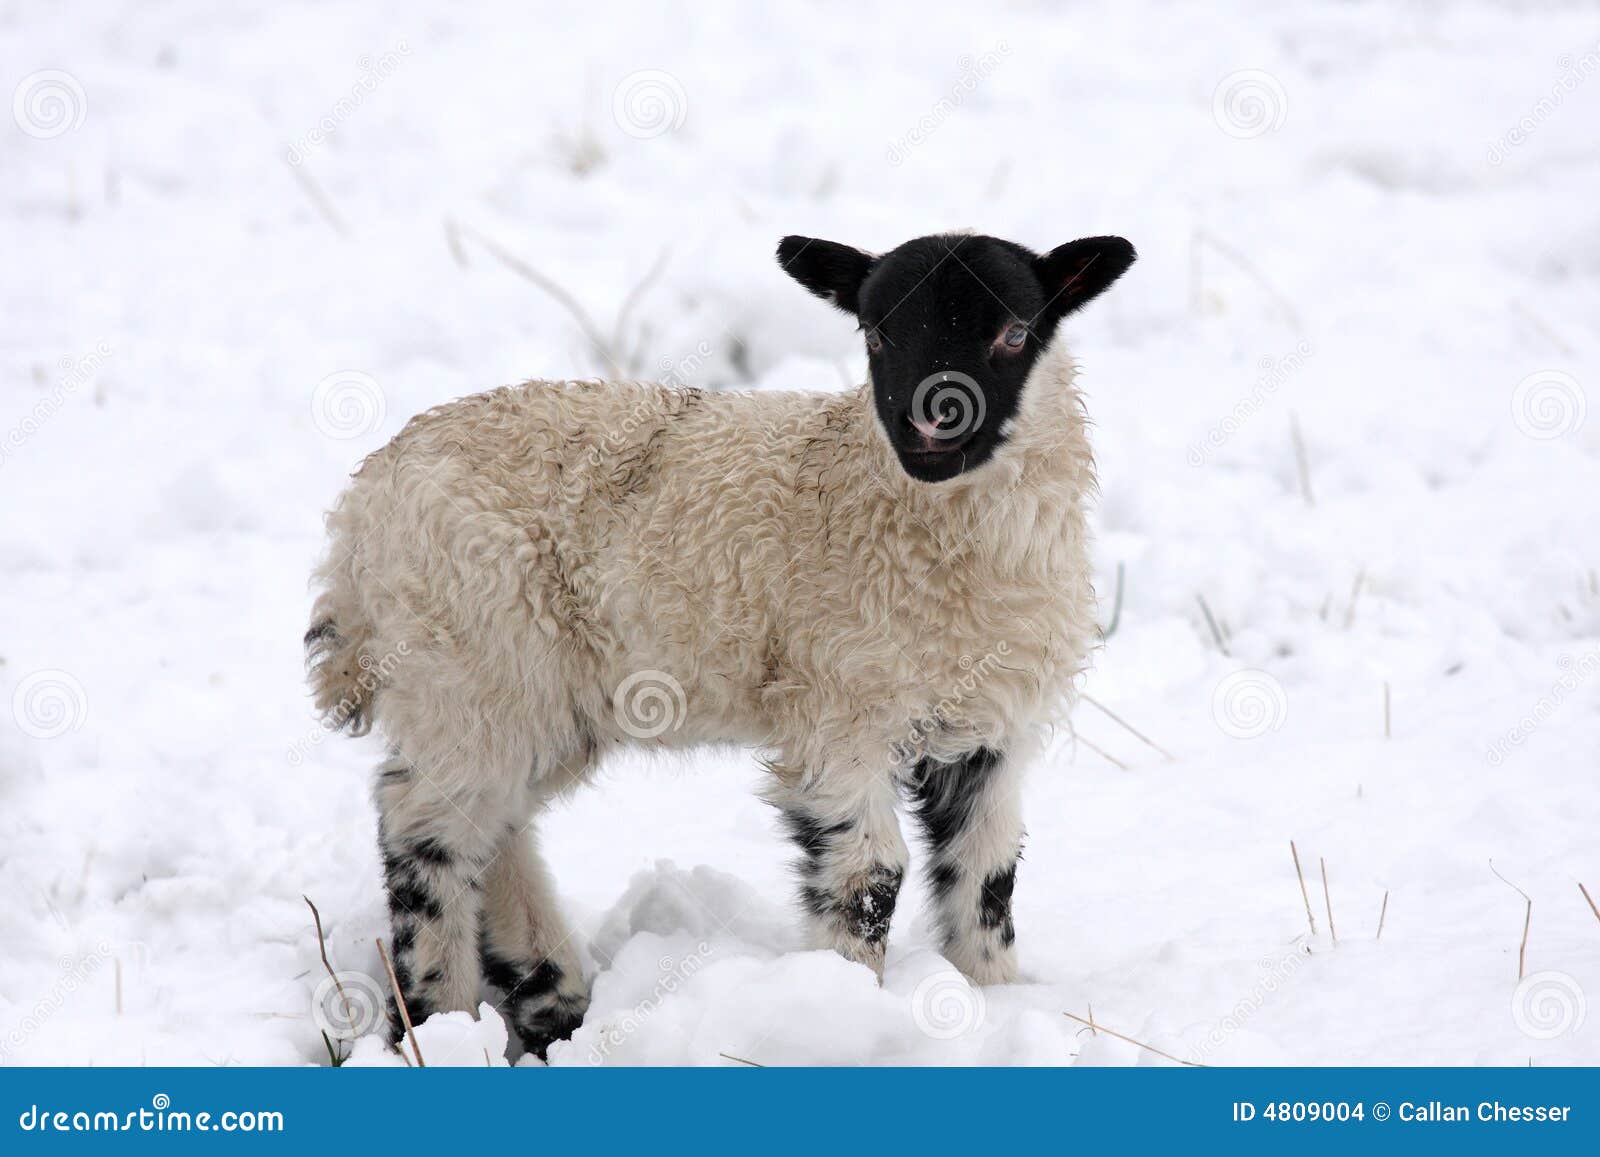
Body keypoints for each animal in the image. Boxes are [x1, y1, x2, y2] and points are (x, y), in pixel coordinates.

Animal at [306, 230, 1136, 1058]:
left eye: (1015, 333)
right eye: (874, 333)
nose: (930, 425)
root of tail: (359, 508)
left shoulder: (992, 728)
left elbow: (986, 871)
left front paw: (990, 1001)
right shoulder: (838, 708)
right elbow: (869, 877)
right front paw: (839, 1008)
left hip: (537, 695)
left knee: (493, 823)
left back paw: (548, 998)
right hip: (469, 659)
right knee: (425, 824)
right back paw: (434, 1019)